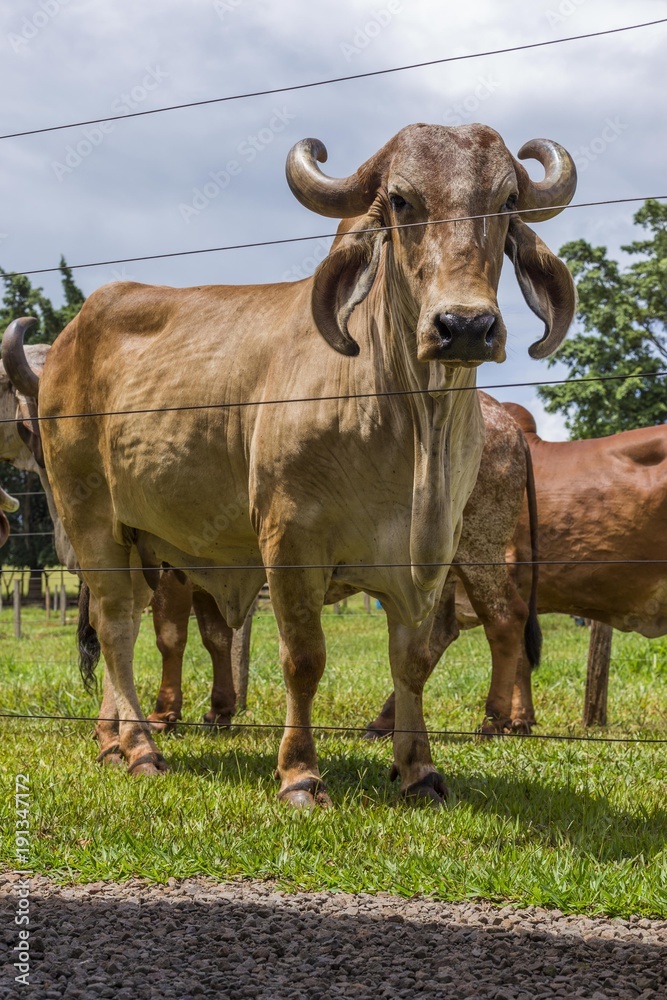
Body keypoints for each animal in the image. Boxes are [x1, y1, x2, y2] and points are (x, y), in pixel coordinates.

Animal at [3, 123, 576, 807]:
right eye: (402, 200)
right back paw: (139, 748)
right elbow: (303, 660)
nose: (465, 326)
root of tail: (72, 337)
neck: (413, 429)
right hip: (96, 526)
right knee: (116, 628)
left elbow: (412, 661)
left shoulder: (429, 558)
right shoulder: (291, 543)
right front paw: (300, 775)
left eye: (508, 201)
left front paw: (418, 769)